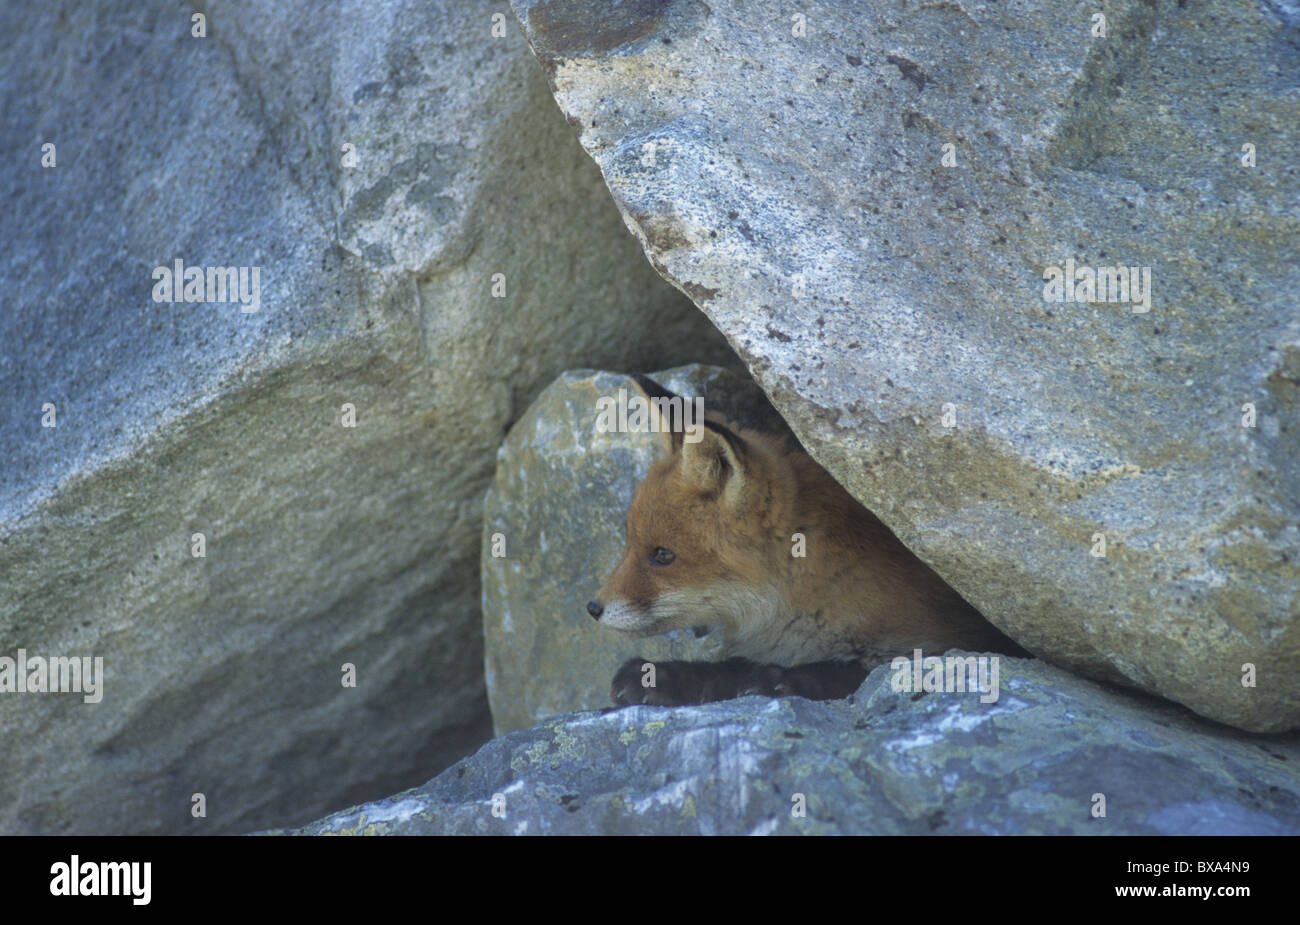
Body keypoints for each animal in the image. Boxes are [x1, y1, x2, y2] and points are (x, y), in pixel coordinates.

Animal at [587, 374, 1027, 706]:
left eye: (662, 555)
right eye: (629, 541)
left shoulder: (945, 642)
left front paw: (775, 679)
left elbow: (843, 670)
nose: (593, 607)